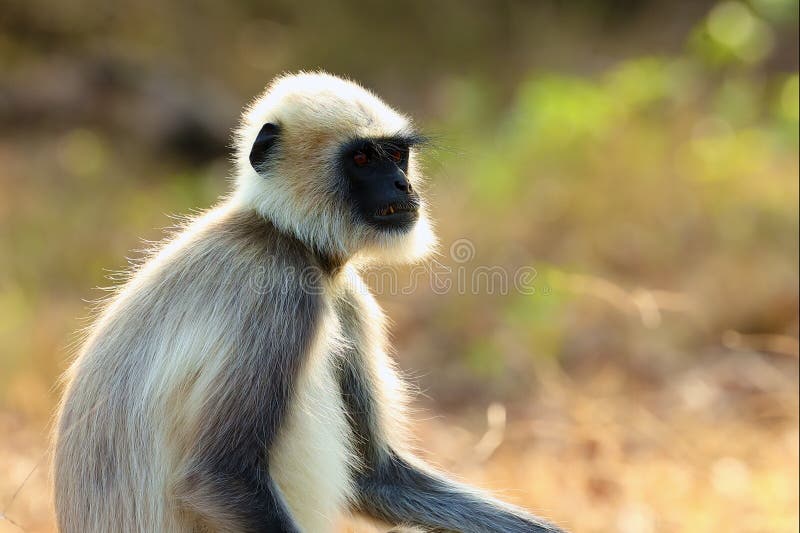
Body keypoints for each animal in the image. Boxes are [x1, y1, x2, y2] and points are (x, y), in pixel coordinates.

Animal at [53, 72, 564, 533]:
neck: (284, 234)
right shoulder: (281, 293)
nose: (403, 186)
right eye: (362, 158)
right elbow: (216, 478)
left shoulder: (348, 297)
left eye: (397, 156)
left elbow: (377, 478)